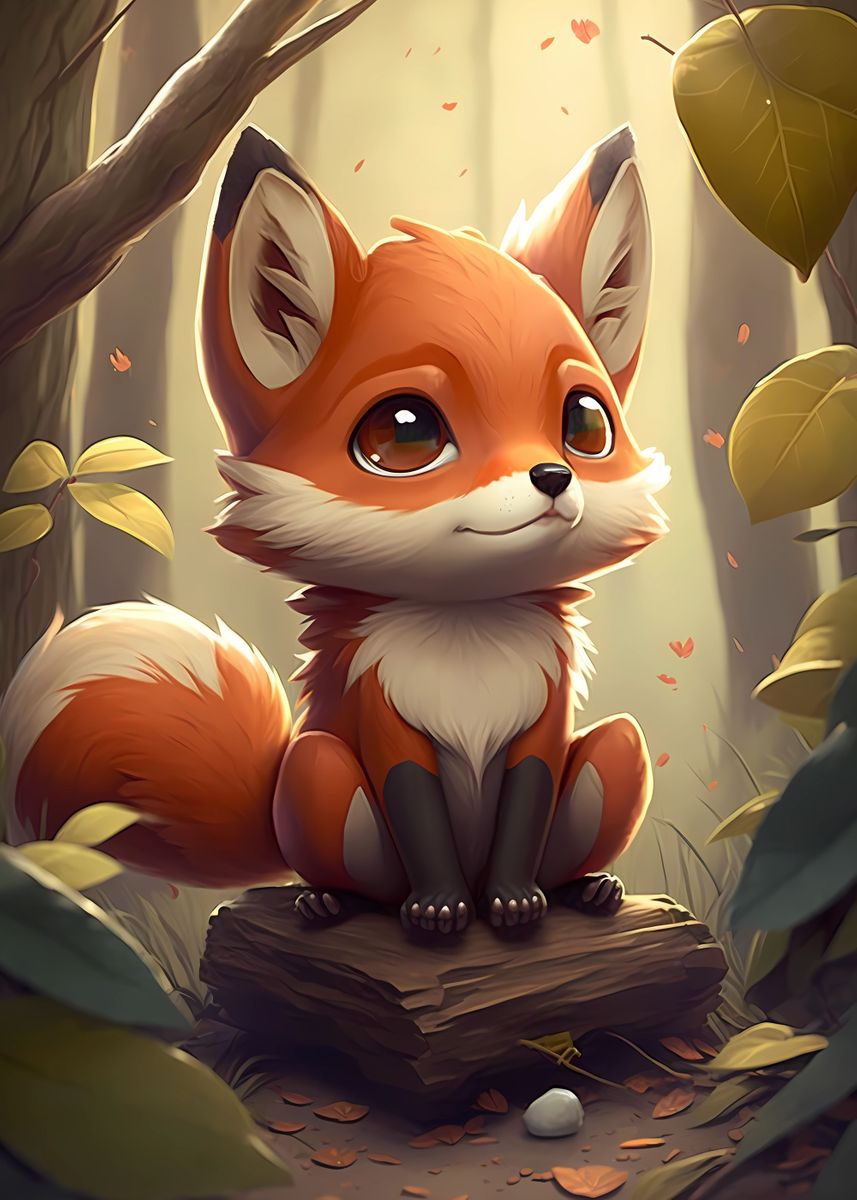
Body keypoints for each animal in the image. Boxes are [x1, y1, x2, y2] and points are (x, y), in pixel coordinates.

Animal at [1, 124, 669, 935]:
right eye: (405, 432)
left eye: (585, 424)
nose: (552, 476)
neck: (467, 637)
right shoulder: (379, 718)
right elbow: (417, 814)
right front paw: (439, 912)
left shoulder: (543, 721)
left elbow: (525, 809)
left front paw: (513, 903)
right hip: (316, 768)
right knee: (358, 878)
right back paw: (328, 901)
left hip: (618, 750)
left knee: (596, 783)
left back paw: (588, 887)